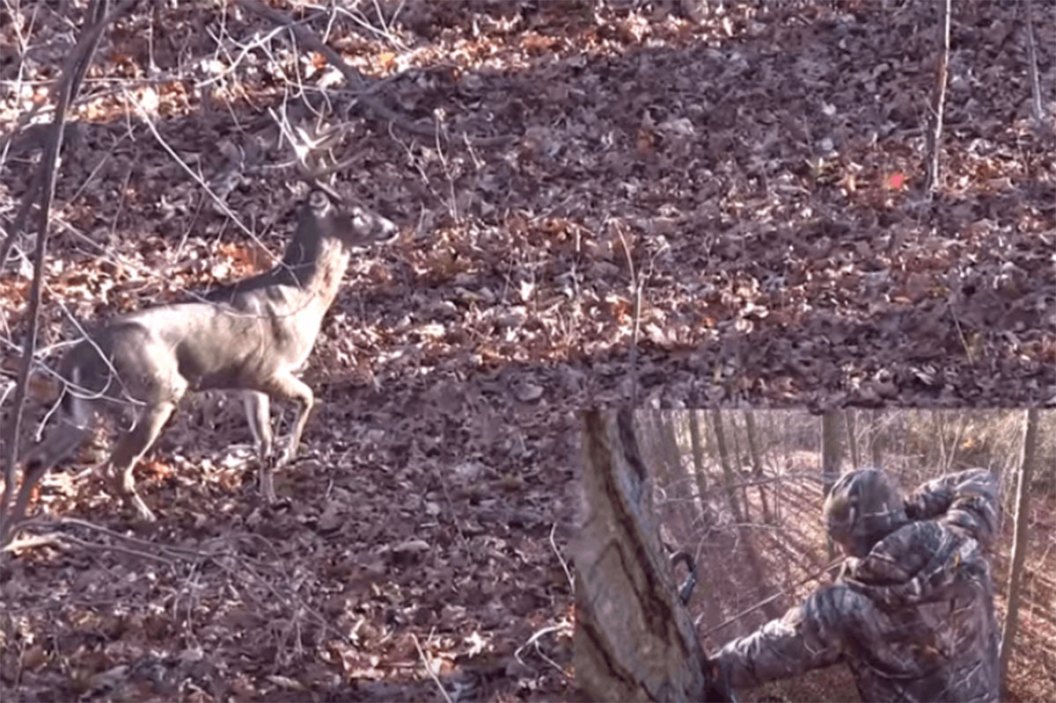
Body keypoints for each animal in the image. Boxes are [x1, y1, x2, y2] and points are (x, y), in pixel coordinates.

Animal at [3, 185, 398, 536]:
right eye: (356, 212)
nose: (392, 228)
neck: (300, 296)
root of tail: (71, 363)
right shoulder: (267, 368)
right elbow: (308, 398)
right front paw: (289, 456)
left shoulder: (248, 383)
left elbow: (263, 439)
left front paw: (268, 496)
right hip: (154, 393)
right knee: (115, 465)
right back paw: (148, 518)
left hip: (83, 410)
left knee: (39, 457)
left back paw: (17, 523)